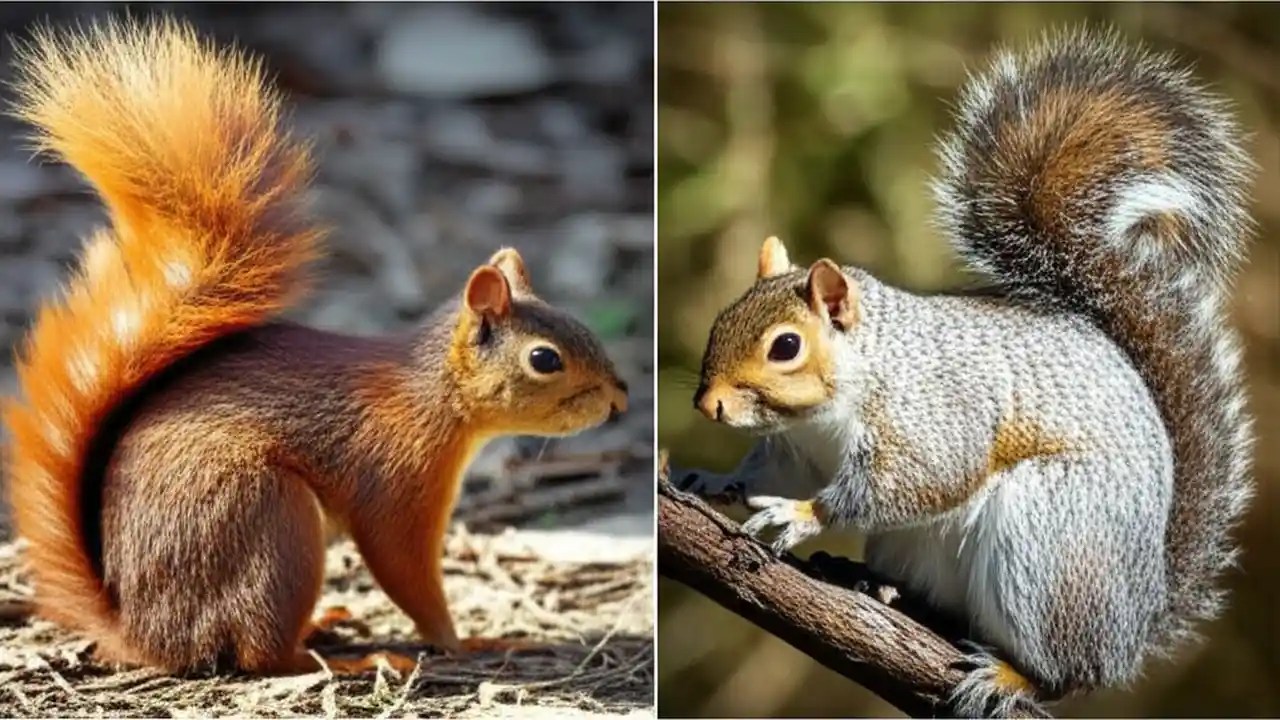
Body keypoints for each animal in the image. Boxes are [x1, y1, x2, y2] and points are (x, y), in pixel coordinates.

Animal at [2, 18, 628, 675]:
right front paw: (467, 640)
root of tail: (145, 635)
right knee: (264, 655)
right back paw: (355, 659)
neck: (431, 395)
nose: (619, 400)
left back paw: (327, 628)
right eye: (544, 359)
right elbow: (402, 566)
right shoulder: (395, 480)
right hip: (270, 523)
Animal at [669, 26, 1253, 717]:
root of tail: (1134, 627)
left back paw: (1011, 676)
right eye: (723, 317)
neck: (846, 393)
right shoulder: (798, 450)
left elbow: (919, 479)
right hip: (930, 548)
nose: (708, 406)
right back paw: (875, 584)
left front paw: (802, 515)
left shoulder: (934, 414)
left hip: (1048, 543)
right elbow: (770, 472)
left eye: (786, 346)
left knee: (1065, 671)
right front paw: (714, 478)